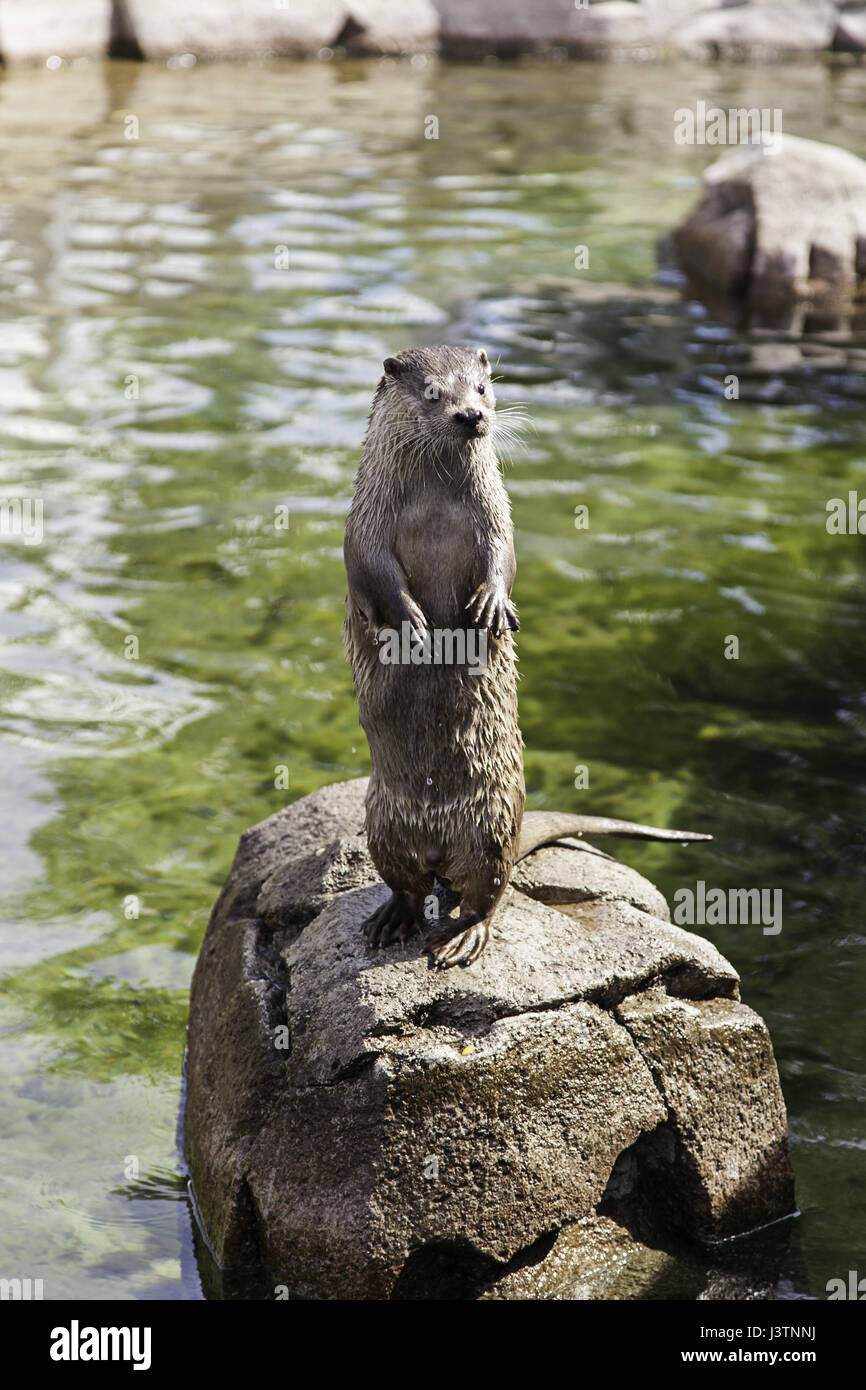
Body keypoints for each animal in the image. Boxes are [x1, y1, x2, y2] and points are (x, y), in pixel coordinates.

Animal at [344, 345, 709, 968]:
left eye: (482, 387)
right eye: (433, 392)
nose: (471, 416)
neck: (432, 507)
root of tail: (440, 848)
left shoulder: (496, 511)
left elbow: (504, 553)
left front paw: (493, 603)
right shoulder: (365, 517)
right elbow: (371, 566)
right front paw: (411, 620)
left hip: (490, 827)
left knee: (489, 894)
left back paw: (462, 937)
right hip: (381, 825)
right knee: (408, 886)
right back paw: (394, 919)